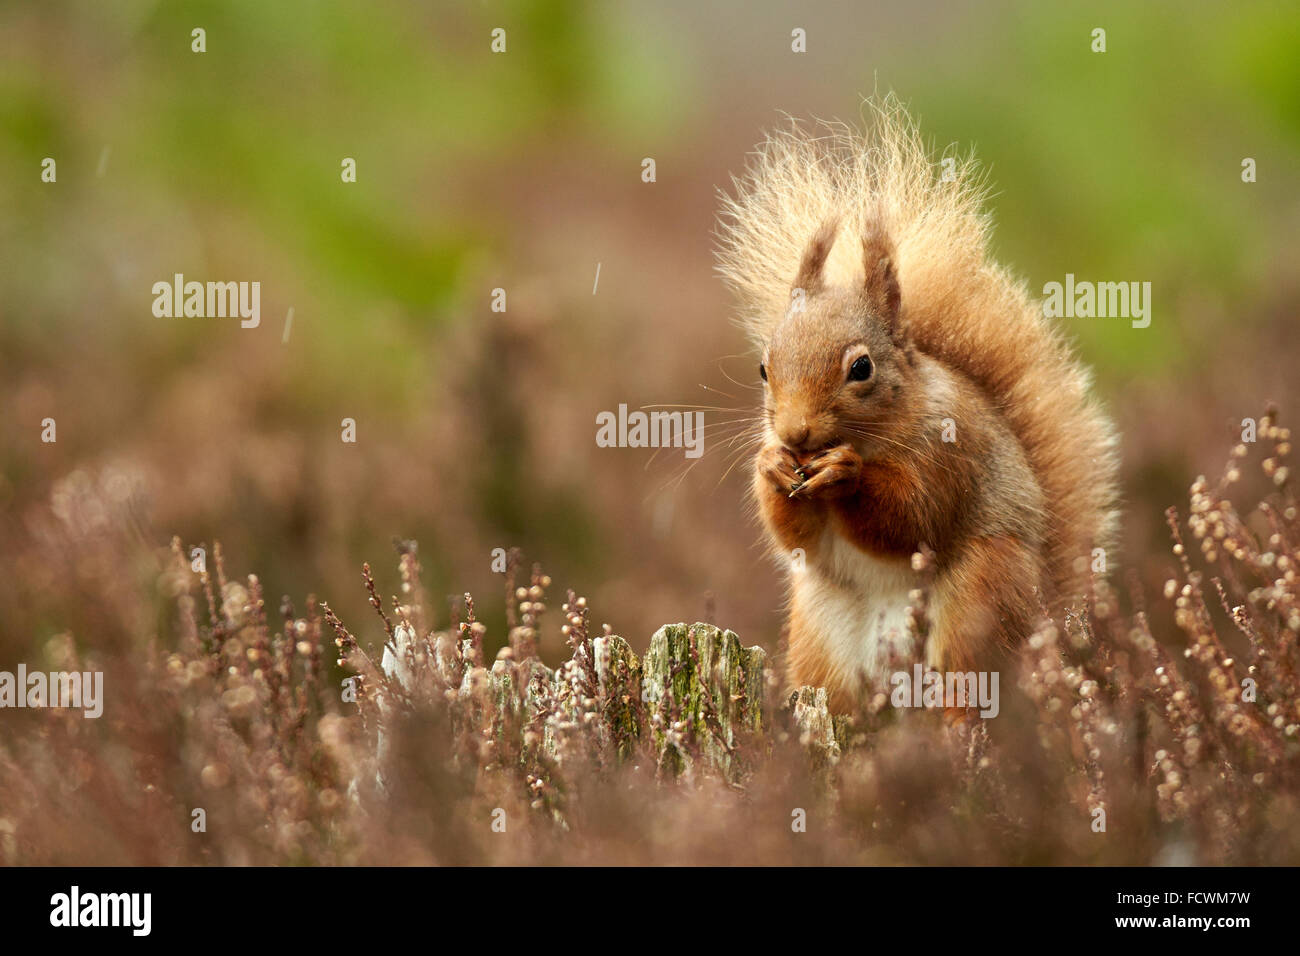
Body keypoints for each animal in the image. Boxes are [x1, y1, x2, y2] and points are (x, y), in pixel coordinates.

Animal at [715, 98, 1119, 713]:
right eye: (764, 368)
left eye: (861, 368)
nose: (794, 434)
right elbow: (795, 537)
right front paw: (773, 467)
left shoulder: (950, 452)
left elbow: (913, 518)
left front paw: (847, 474)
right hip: (819, 639)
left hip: (982, 593)